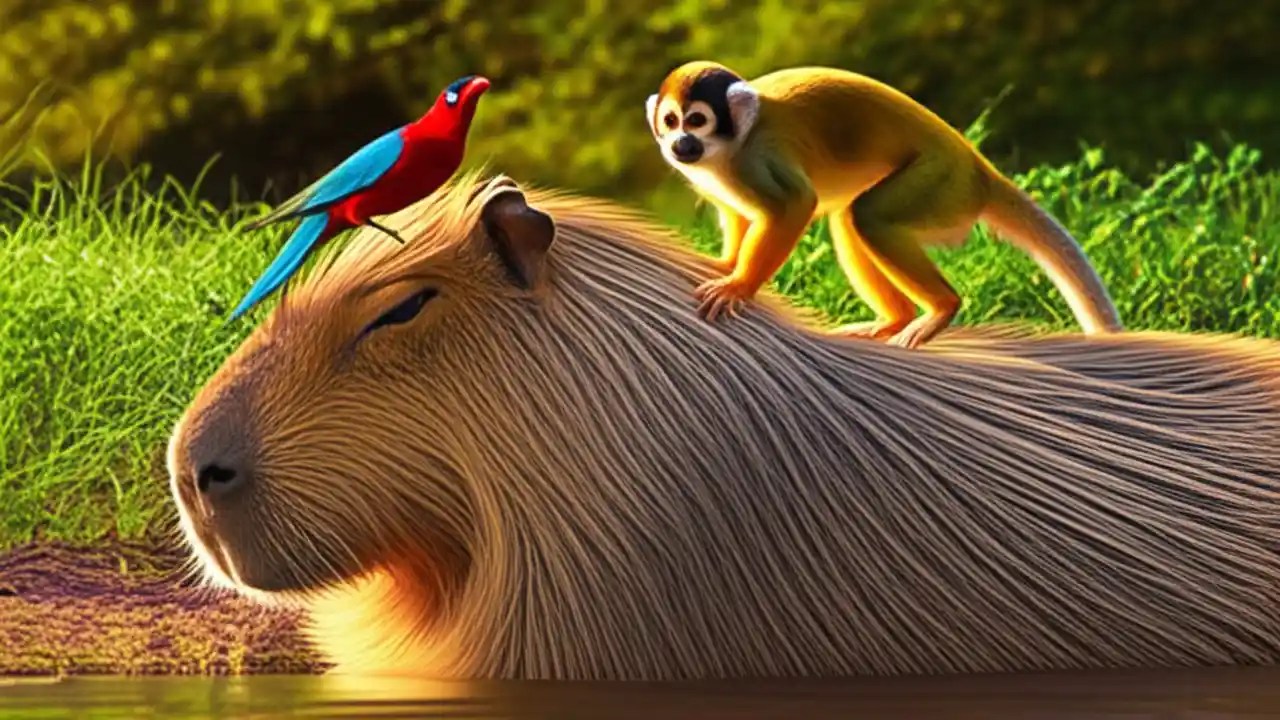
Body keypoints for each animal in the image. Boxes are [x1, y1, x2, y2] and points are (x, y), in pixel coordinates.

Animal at [646, 61, 1123, 348]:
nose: (680, 143)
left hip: (941, 183)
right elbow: (738, 213)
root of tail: (977, 168)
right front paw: (728, 263)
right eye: (671, 121)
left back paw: (941, 309)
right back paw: (895, 319)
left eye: (697, 121)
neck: (729, 149)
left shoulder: (757, 158)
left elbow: (795, 204)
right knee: (850, 220)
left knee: (866, 216)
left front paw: (740, 285)